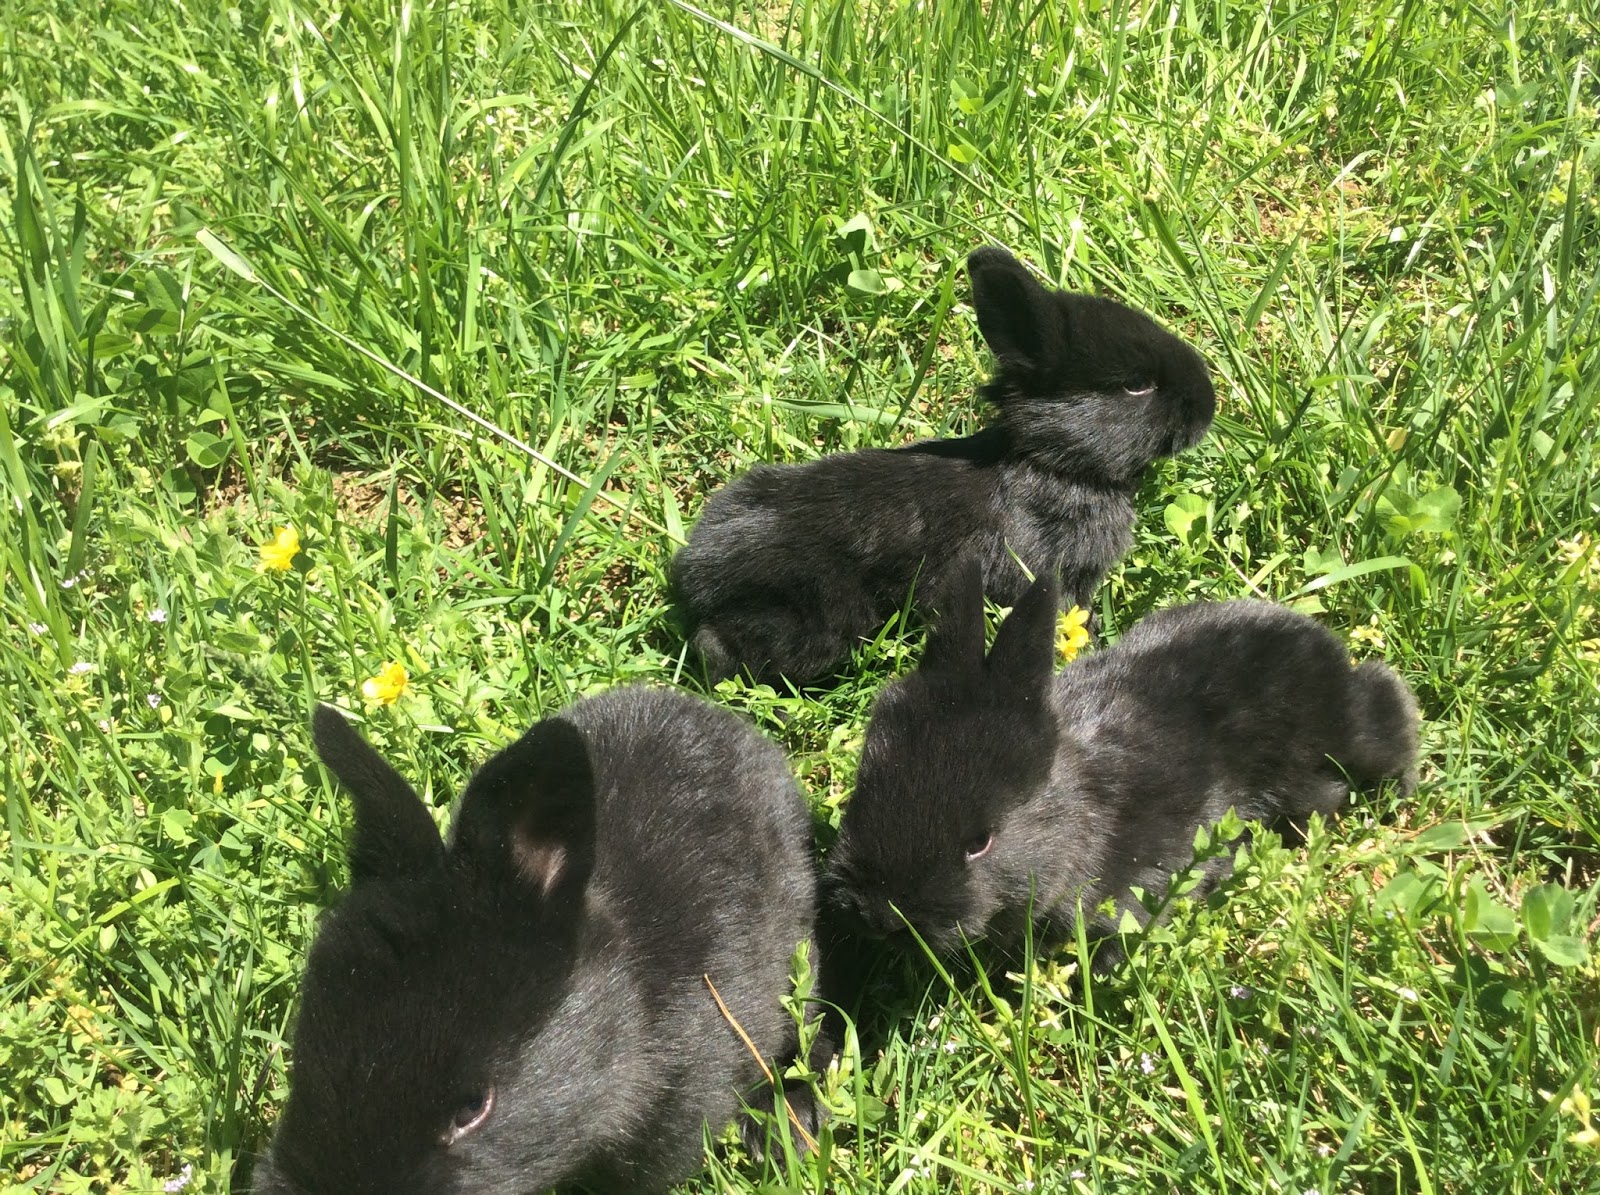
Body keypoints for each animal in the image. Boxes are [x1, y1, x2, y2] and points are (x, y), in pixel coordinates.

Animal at [826, 560, 1420, 960]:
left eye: (980, 842)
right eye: (864, 792)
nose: (879, 915)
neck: (1084, 803)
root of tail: (1322, 645)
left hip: (1345, 738)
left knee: (1384, 705)